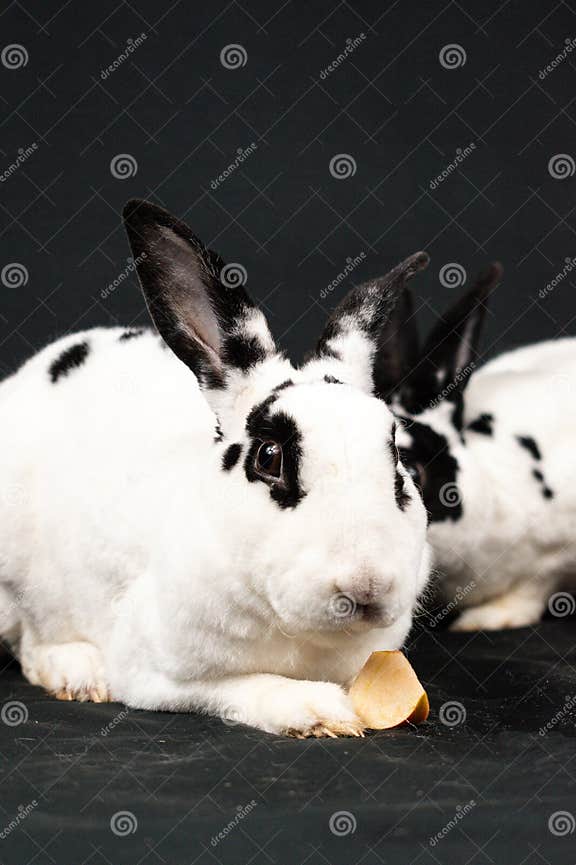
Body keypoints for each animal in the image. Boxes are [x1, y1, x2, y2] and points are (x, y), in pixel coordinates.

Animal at [0, 199, 433, 736]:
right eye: (269, 457)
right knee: (31, 639)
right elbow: (248, 686)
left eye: (397, 462)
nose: (366, 584)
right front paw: (320, 712)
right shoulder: (157, 675)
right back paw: (79, 675)